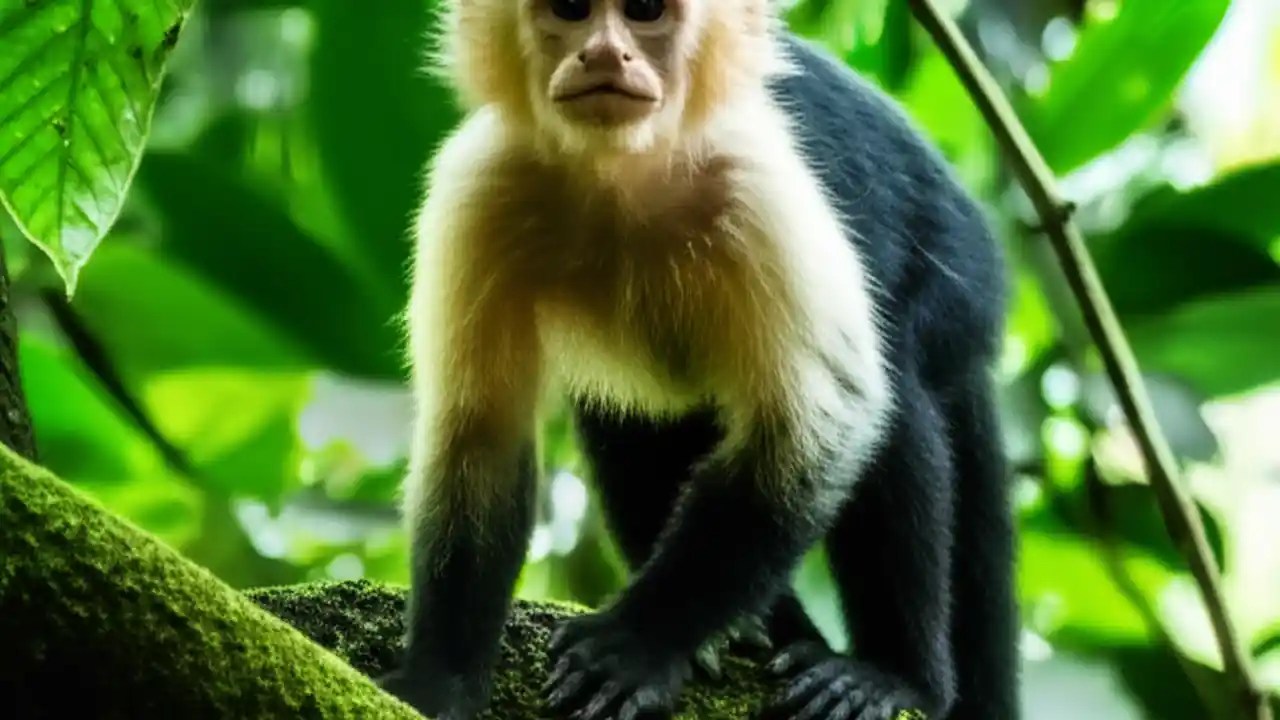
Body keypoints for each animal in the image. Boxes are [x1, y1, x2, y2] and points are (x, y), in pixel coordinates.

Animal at [375, 0, 1019, 719]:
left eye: (645, 13)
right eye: (570, 11)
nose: (606, 55)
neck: (623, 174)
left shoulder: (753, 181)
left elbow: (819, 425)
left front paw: (639, 644)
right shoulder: (482, 188)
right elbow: (480, 437)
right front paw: (441, 678)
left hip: (959, 278)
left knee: (895, 396)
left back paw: (896, 675)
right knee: (628, 427)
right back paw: (755, 632)